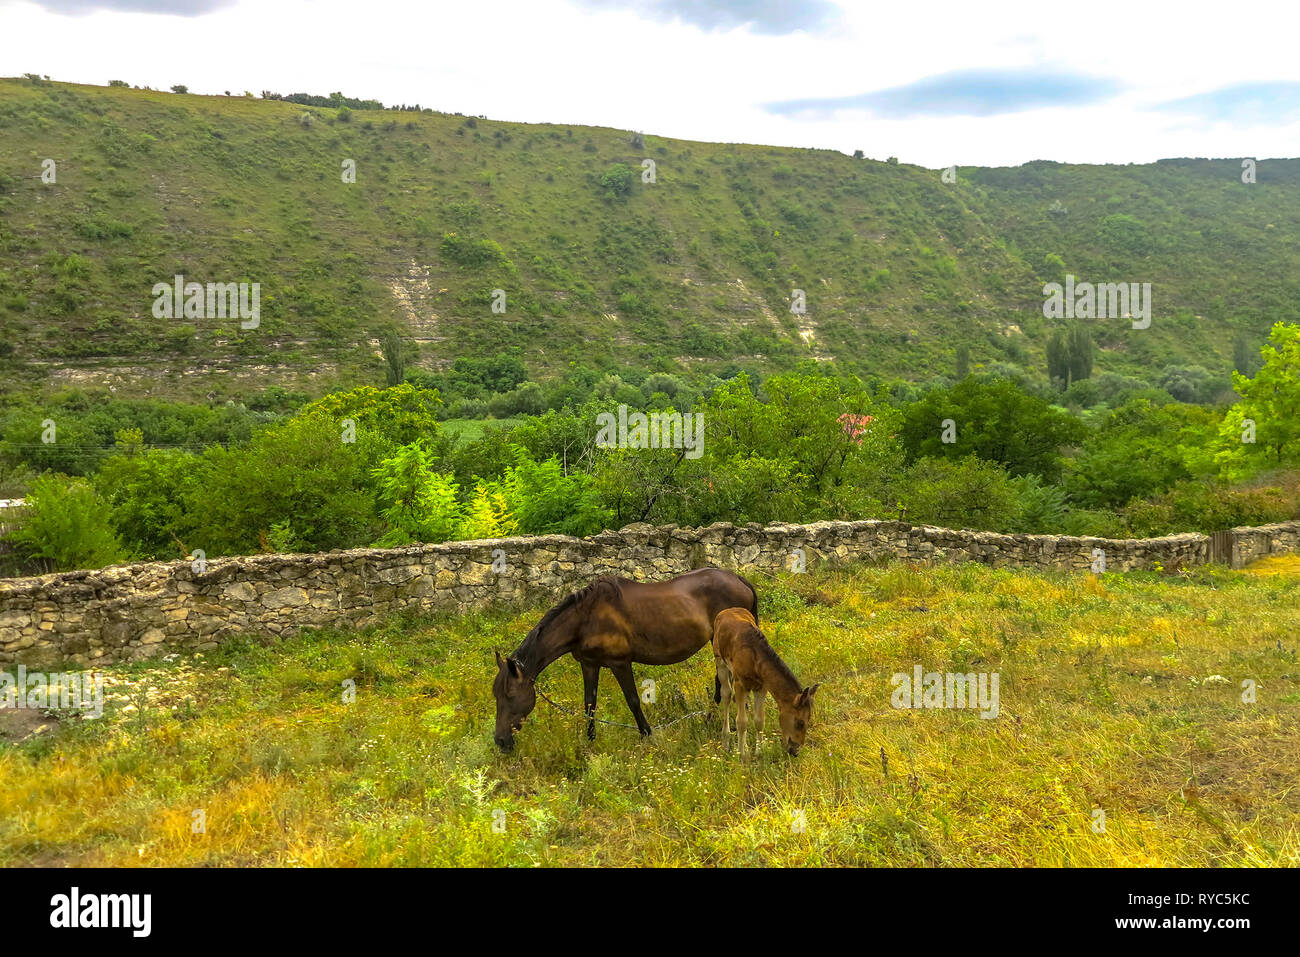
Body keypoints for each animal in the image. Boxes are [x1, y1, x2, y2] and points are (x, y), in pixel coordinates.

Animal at [492, 567, 759, 752]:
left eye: (510, 695)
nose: (500, 741)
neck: (585, 619)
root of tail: (740, 580)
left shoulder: (620, 663)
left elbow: (633, 701)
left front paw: (647, 735)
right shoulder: (589, 664)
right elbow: (589, 703)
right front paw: (590, 741)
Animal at [712, 607, 817, 758]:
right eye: (800, 722)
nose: (795, 751)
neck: (755, 661)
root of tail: (725, 611)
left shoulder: (761, 687)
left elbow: (759, 720)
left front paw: (758, 752)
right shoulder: (740, 684)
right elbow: (741, 721)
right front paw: (742, 755)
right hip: (720, 661)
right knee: (726, 695)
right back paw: (726, 742)